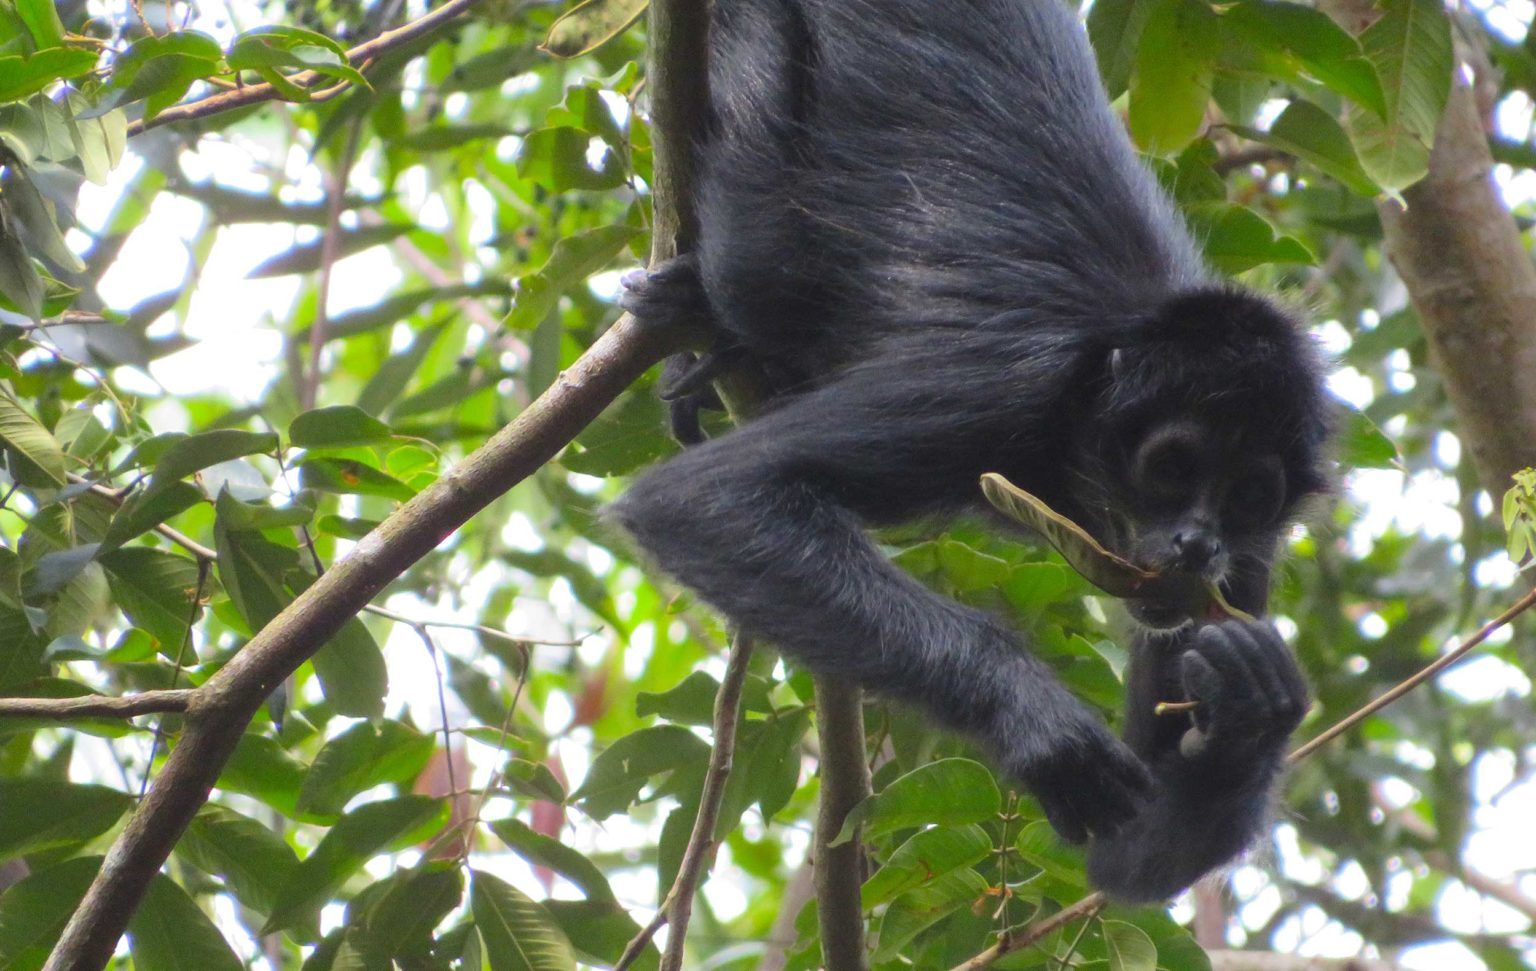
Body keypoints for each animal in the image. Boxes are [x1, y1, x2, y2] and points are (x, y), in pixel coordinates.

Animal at [610, 0, 1330, 902]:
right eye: (1169, 468)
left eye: (1247, 497)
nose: (1198, 543)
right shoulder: (996, 388)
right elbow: (699, 501)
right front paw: (1034, 717)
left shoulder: (1252, 557)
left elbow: (1124, 861)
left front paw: (1255, 708)